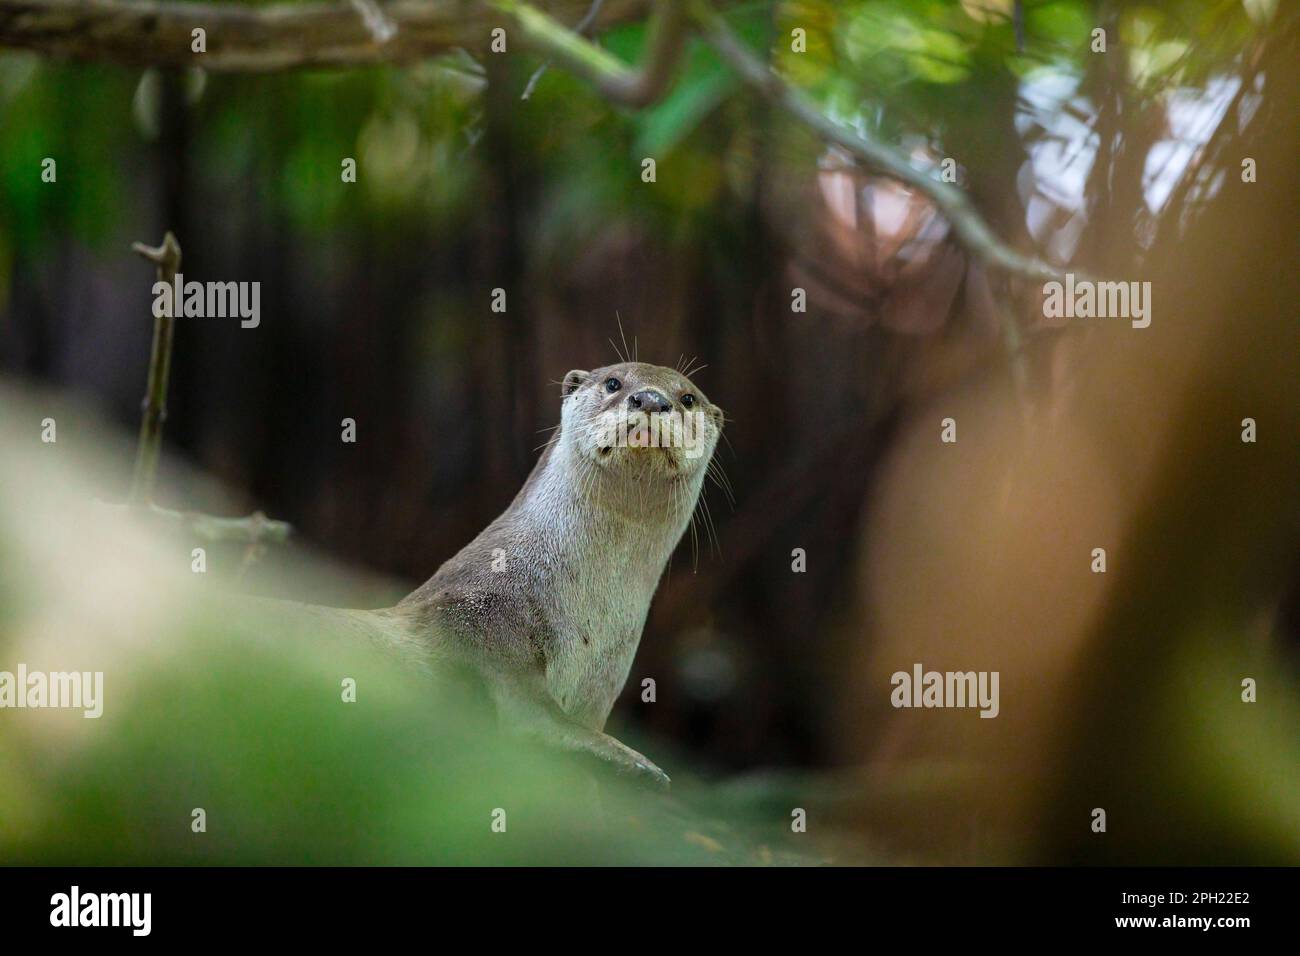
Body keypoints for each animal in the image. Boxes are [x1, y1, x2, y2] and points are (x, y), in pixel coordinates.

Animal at [395, 362, 724, 790]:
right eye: (614, 383)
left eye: (687, 398)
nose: (651, 399)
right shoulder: (477, 624)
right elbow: (531, 713)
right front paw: (636, 762)